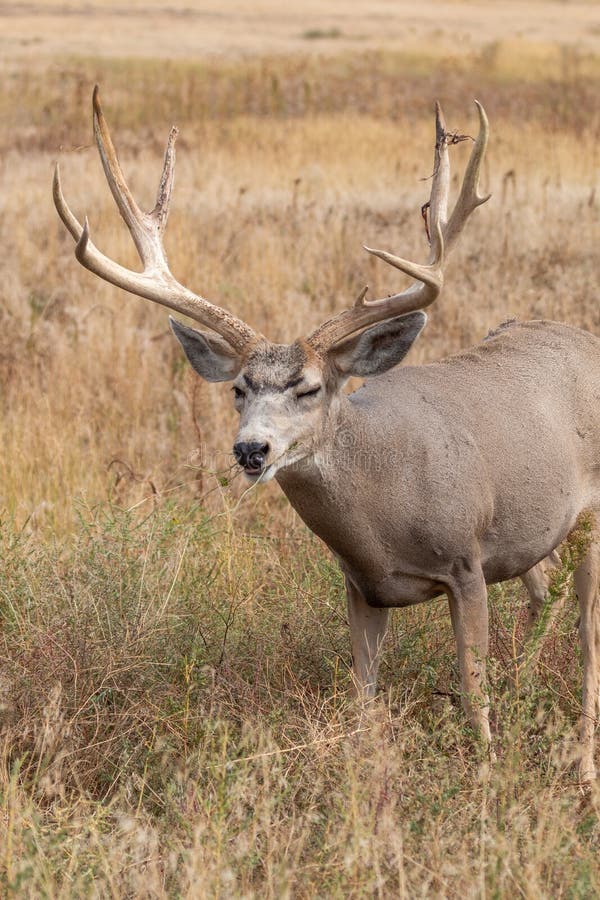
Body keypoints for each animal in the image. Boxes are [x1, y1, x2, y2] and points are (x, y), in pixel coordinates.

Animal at [53, 87, 600, 782]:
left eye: (309, 387)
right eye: (238, 388)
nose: (251, 449)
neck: (385, 507)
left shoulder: (465, 559)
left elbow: (471, 691)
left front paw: (484, 770)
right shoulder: (362, 585)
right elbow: (362, 696)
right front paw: (366, 770)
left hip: (587, 520)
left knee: (587, 632)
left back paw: (582, 756)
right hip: (531, 531)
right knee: (545, 591)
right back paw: (526, 687)